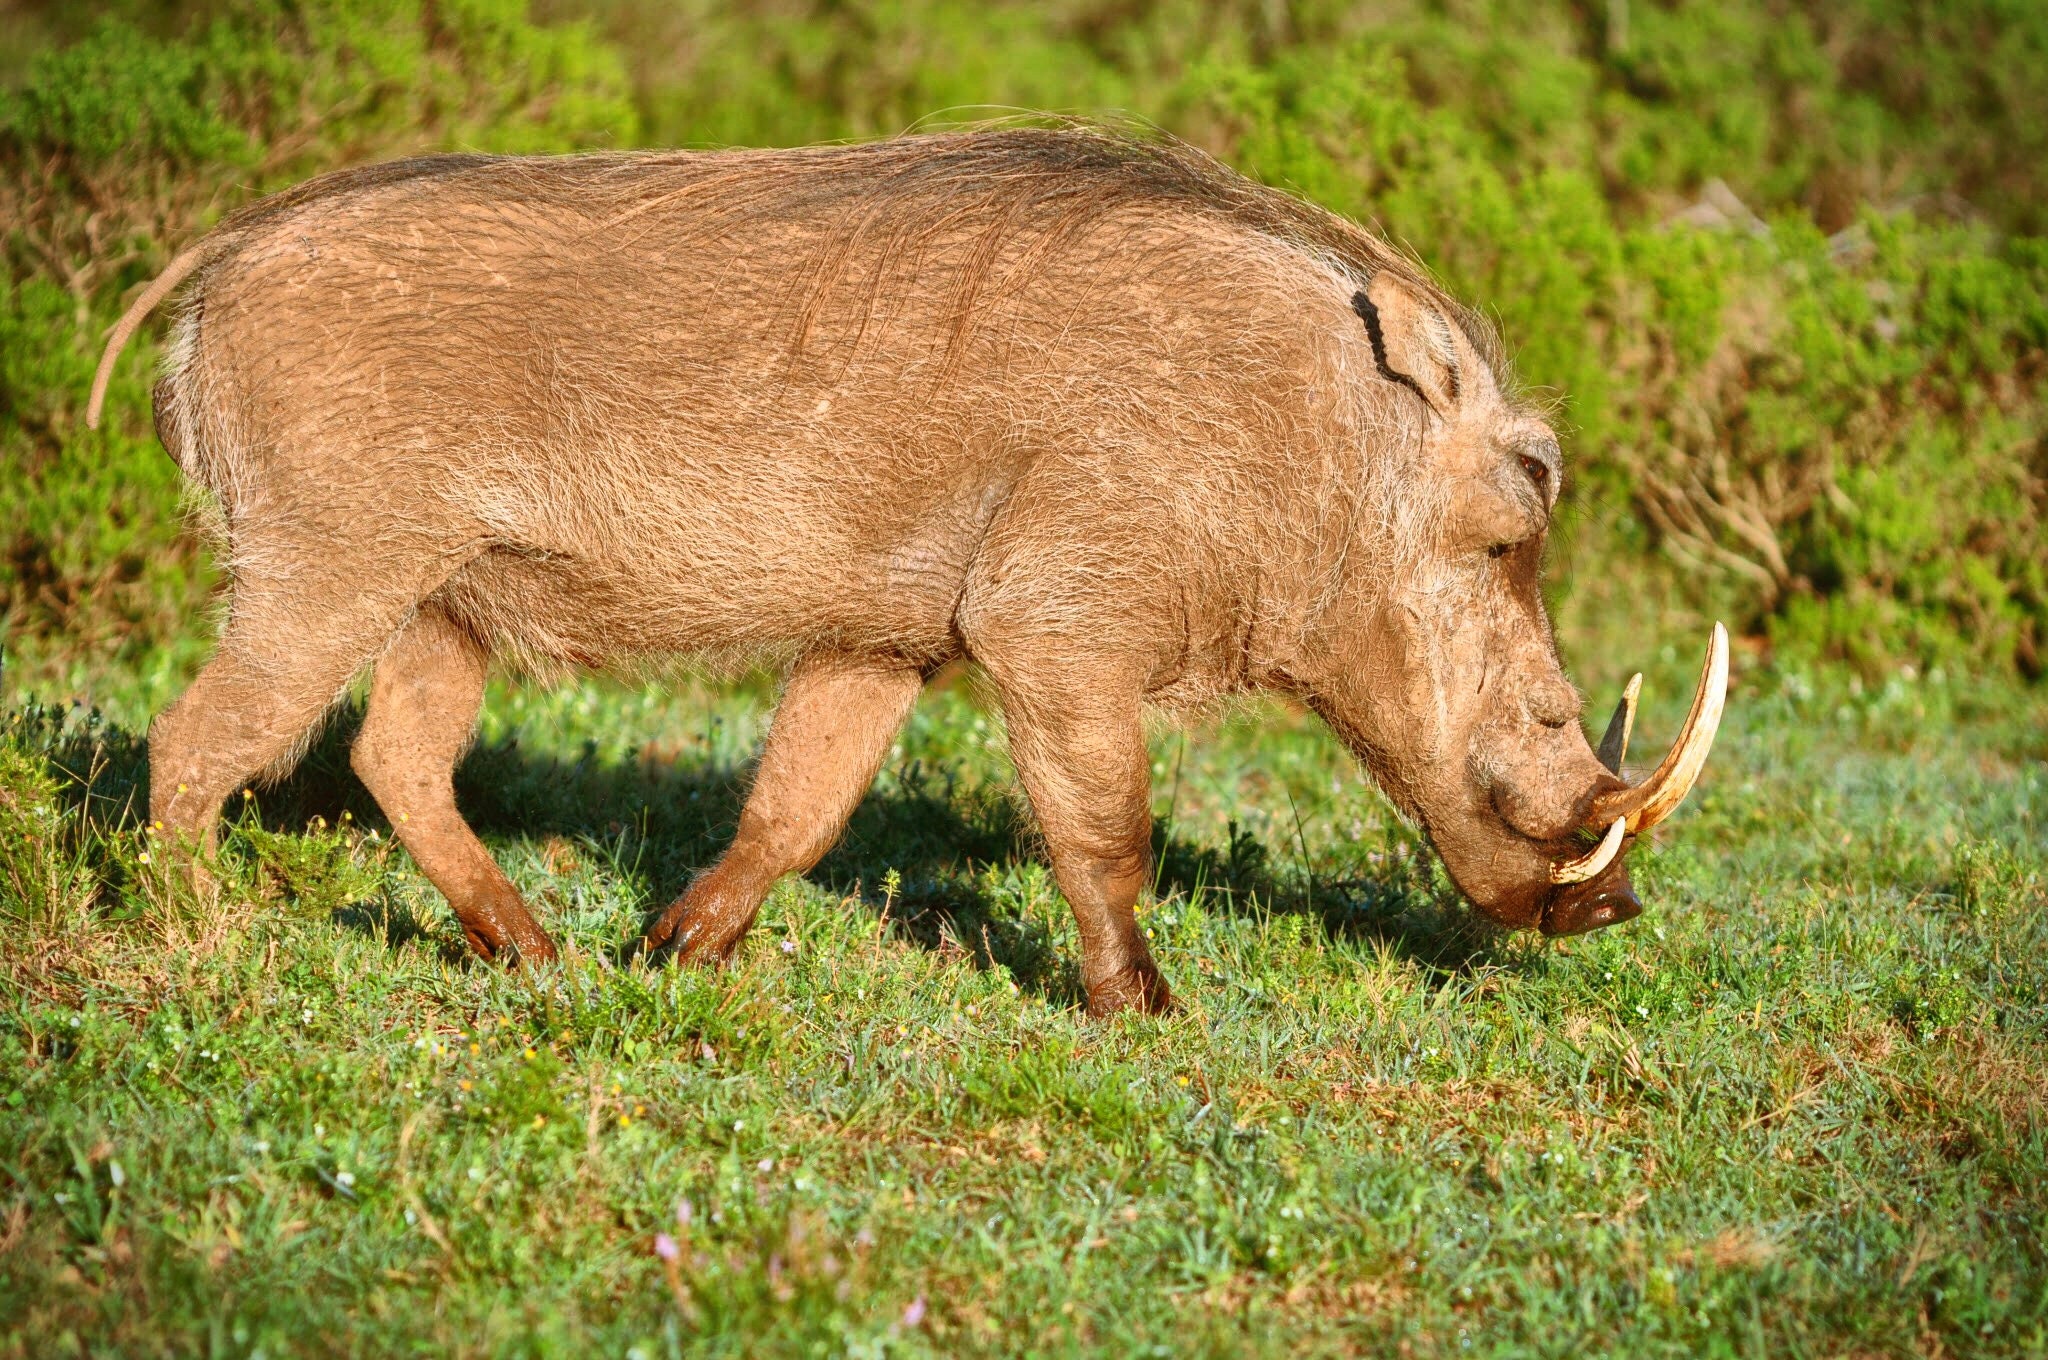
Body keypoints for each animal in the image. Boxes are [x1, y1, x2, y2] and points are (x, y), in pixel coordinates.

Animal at [88, 126, 1724, 1015]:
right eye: (1507, 529)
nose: (1612, 910)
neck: (1302, 442)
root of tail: (216, 259)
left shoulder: (888, 638)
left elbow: (796, 808)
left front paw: (673, 958)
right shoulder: (1056, 626)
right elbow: (1106, 831)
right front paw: (1147, 1015)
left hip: (448, 599)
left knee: (396, 757)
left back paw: (538, 959)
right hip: (324, 568)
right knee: (198, 741)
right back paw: (198, 946)